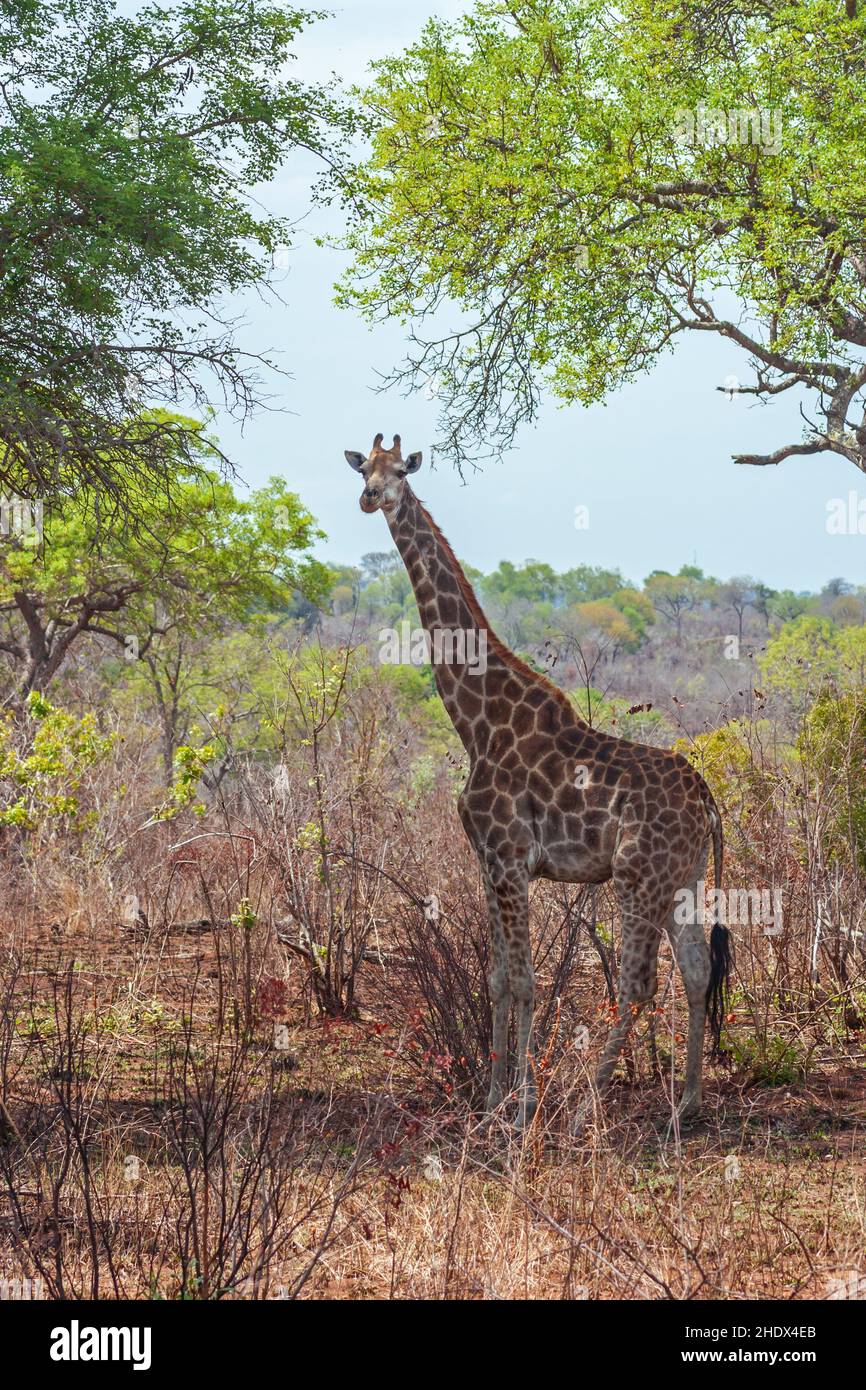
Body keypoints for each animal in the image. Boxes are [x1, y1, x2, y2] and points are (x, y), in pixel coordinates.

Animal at [346, 434, 732, 1129]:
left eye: (399, 473)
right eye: (363, 468)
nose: (370, 498)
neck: (477, 722)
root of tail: (709, 803)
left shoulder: (510, 857)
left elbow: (525, 981)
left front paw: (520, 1108)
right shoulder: (488, 860)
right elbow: (498, 979)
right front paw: (490, 1100)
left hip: (638, 877)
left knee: (637, 983)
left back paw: (585, 1107)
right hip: (685, 878)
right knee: (694, 971)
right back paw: (685, 1104)